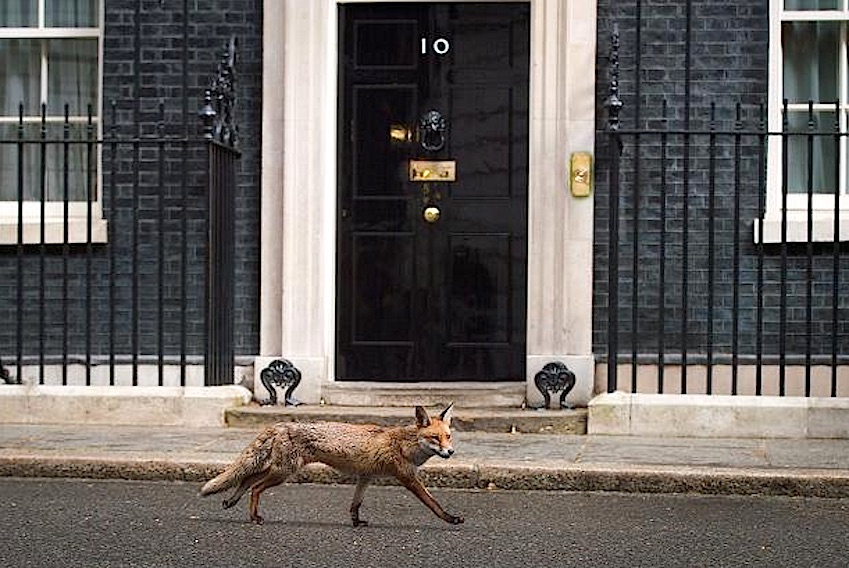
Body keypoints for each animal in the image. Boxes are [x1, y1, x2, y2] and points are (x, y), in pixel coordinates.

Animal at [200, 403, 464, 526]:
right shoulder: (408, 478)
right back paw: (254, 517)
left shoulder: (365, 477)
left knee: (246, 479)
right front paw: (450, 518)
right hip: (283, 472)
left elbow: (355, 504)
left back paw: (231, 501)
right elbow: (433, 503)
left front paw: (356, 523)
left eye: (448, 436)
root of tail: (281, 424)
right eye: (434, 438)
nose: (450, 452)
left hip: (278, 470)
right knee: (254, 486)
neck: (403, 444)